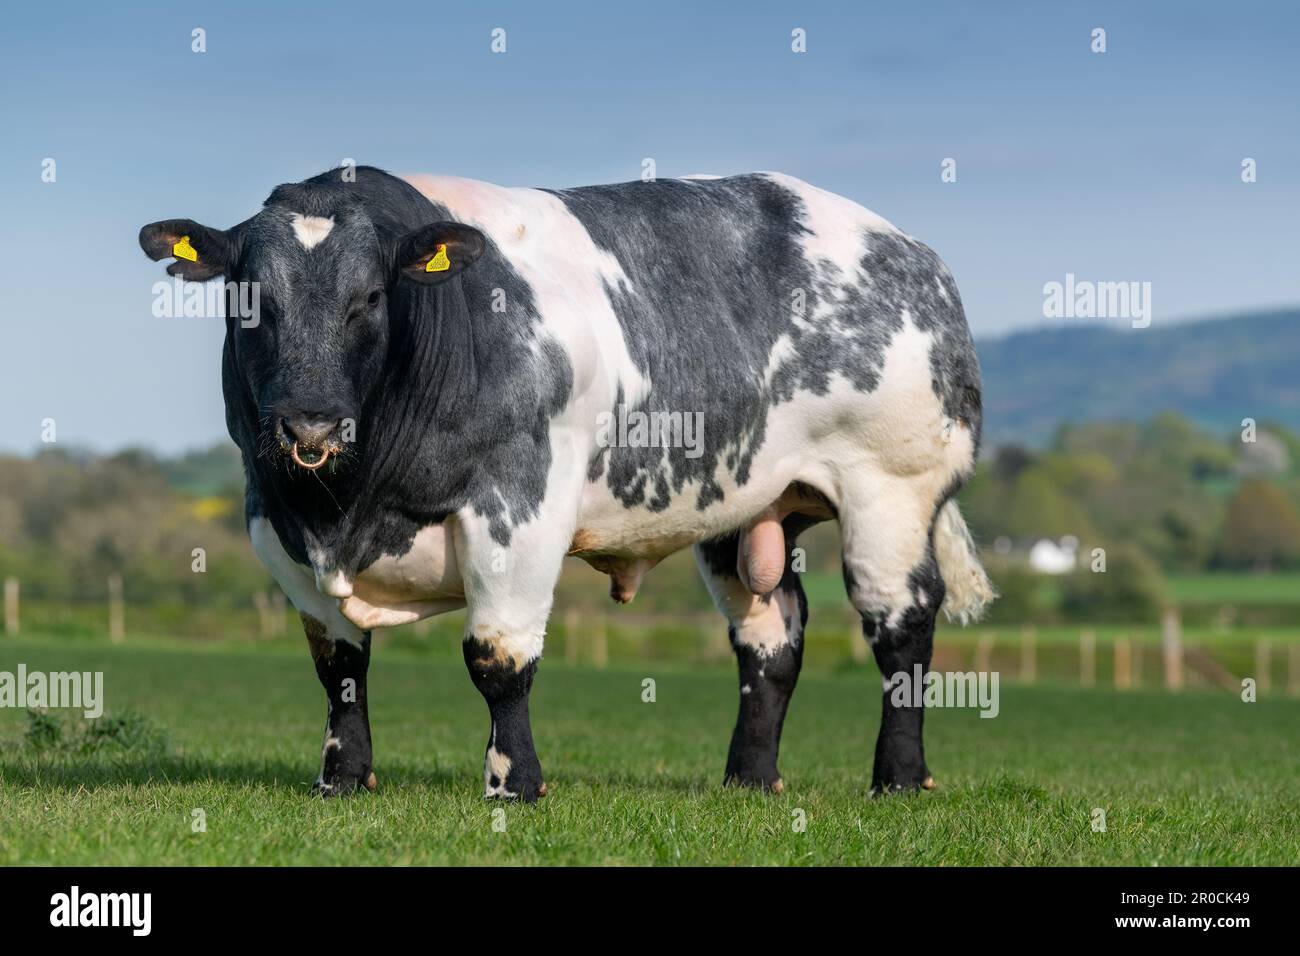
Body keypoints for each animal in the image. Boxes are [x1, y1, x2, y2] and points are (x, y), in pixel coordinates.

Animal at [139, 166, 994, 801]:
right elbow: (340, 668)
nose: (308, 426)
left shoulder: (518, 506)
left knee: (900, 623)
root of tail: (908, 251)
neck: (345, 507)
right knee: (770, 636)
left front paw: (513, 783)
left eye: (371, 297)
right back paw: (750, 779)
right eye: (250, 299)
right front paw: (342, 779)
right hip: (741, 510)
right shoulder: (274, 523)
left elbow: (497, 658)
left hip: (890, 488)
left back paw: (900, 778)